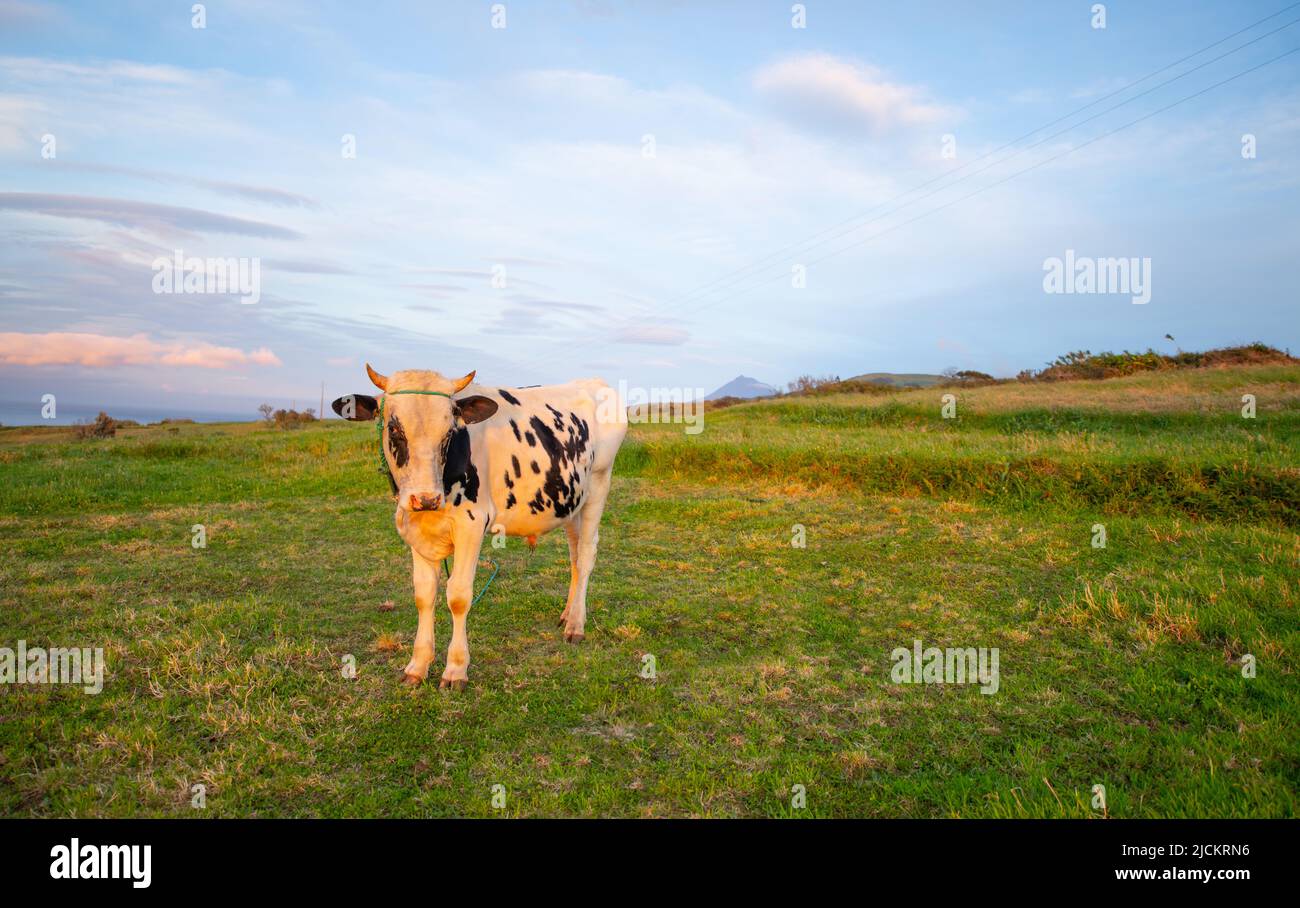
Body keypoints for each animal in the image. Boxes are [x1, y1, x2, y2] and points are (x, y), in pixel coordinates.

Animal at [332, 364, 626, 690]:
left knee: (585, 556)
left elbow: (459, 597)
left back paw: (575, 625)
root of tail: (595, 382)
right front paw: (417, 665)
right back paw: (567, 614)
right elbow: (424, 595)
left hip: (599, 484)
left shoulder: (471, 526)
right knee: (574, 557)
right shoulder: (413, 528)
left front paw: (455, 670)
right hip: (572, 500)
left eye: (449, 432)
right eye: (394, 429)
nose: (426, 498)